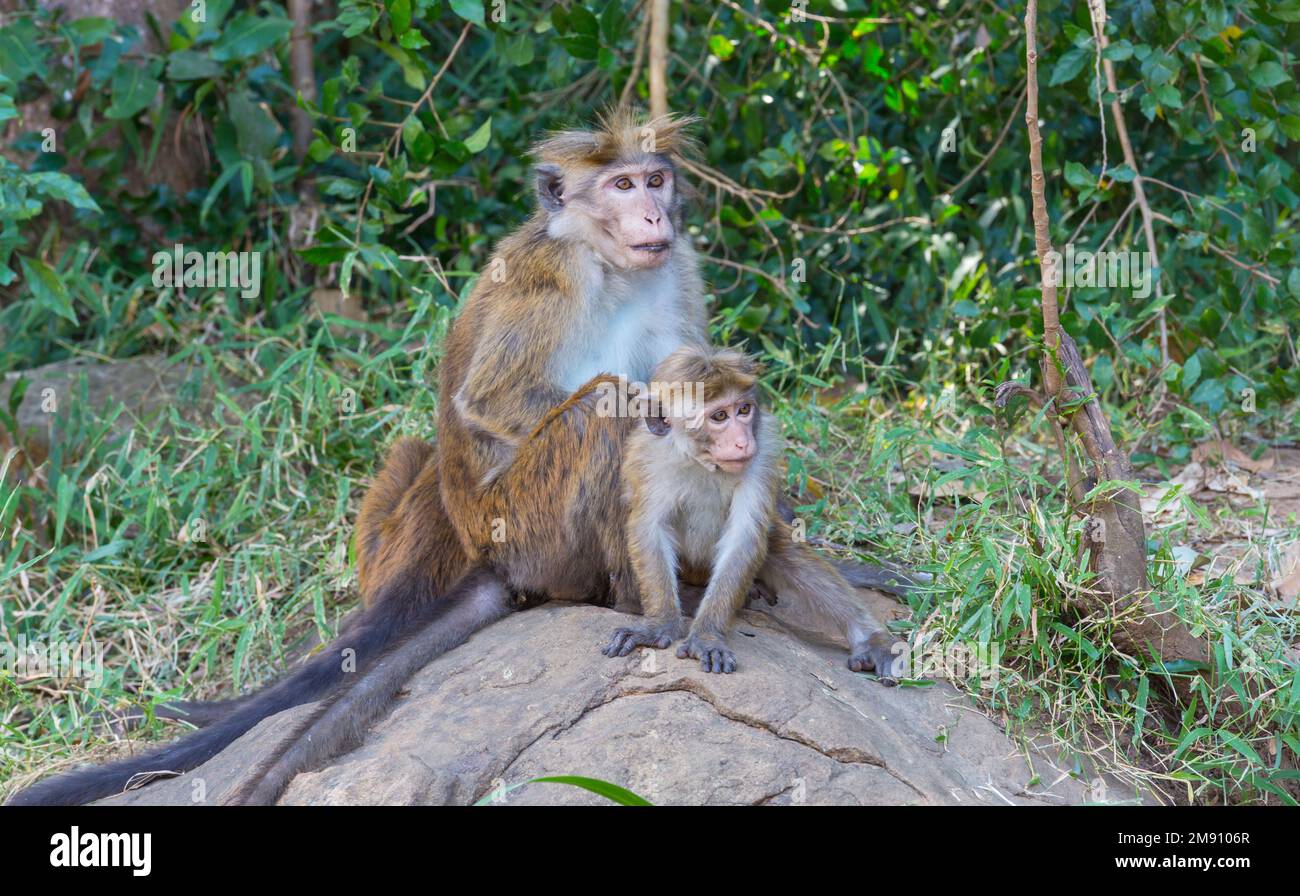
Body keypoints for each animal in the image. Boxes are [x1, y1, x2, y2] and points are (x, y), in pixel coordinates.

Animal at [601, 345, 902, 677]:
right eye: (719, 416)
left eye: (744, 410)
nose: (743, 442)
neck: (702, 462)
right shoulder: (646, 459)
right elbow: (650, 531)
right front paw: (659, 624)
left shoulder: (763, 452)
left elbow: (744, 538)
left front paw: (707, 635)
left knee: (791, 555)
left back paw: (870, 641)